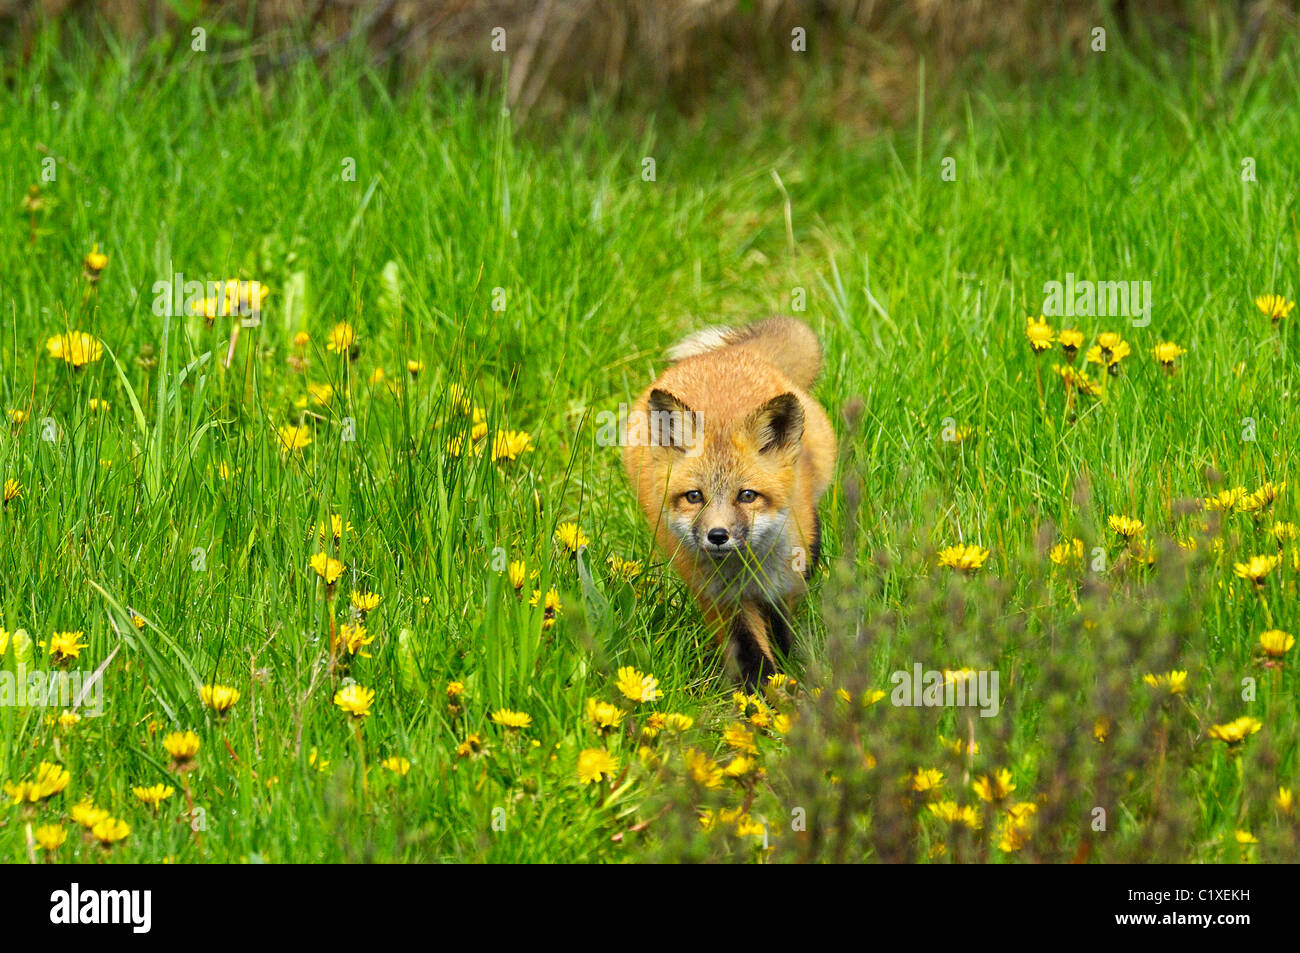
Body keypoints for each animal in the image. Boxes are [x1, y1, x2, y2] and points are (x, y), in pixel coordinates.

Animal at [623, 317, 836, 689]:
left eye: (746, 495)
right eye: (694, 497)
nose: (718, 535)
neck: (747, 570)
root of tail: (726, 356)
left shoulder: (783, 587)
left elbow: (781, 633)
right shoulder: (721, 601)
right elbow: (751, 657)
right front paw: (766, 696)